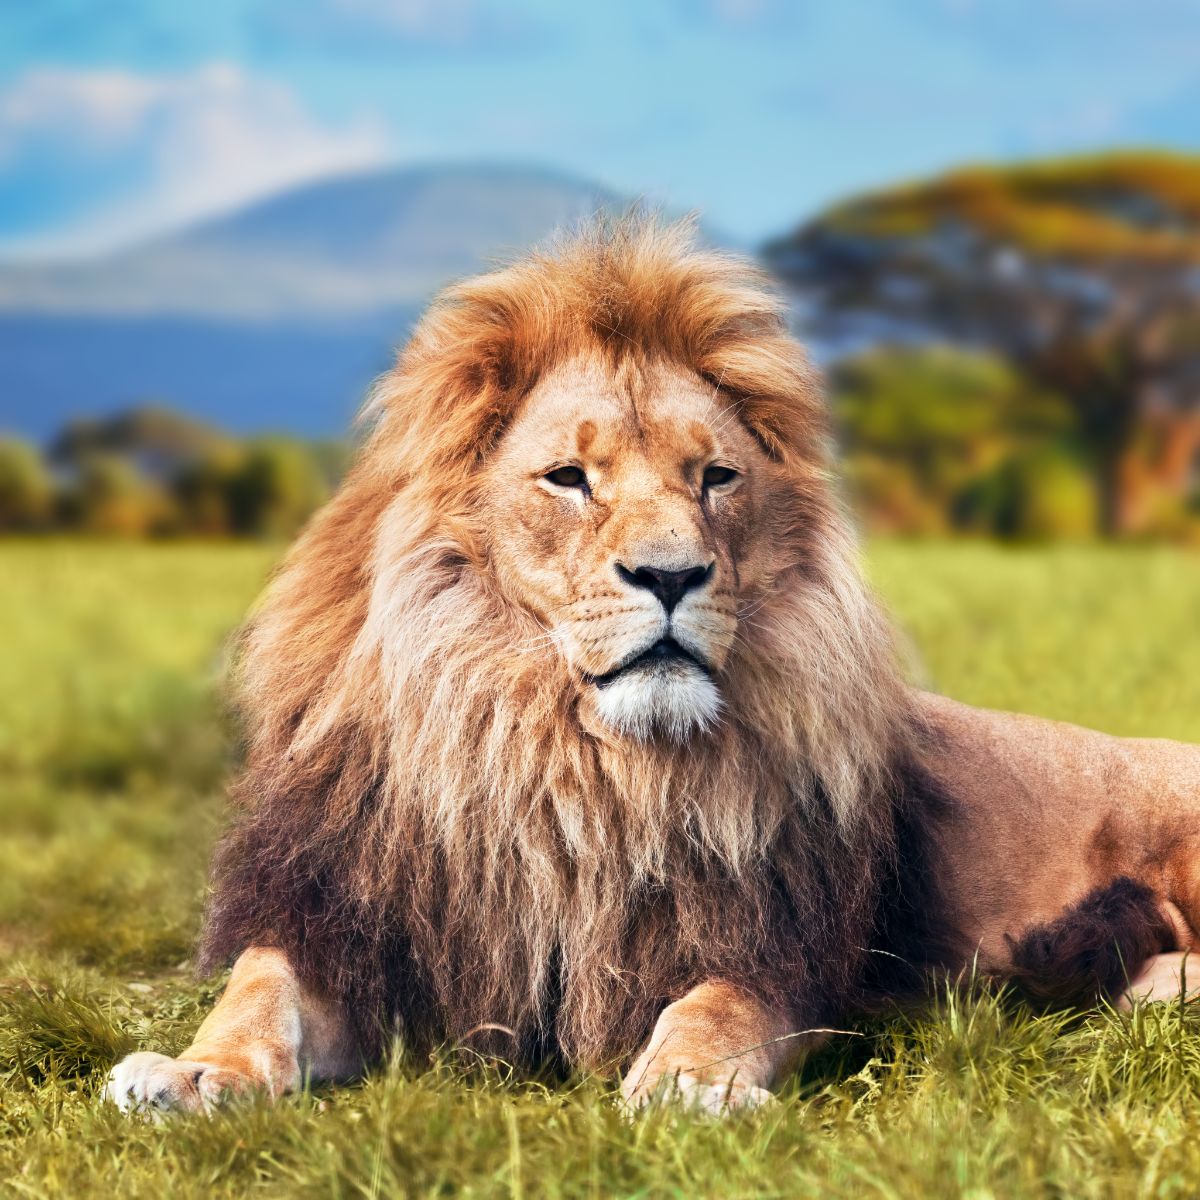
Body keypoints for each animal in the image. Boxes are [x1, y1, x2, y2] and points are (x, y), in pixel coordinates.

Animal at [105, 218, 1200, 1118]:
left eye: (715, 477)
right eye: (568, 478)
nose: (672, 574)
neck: (567, 762)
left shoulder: (777, 947)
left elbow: (716, 1009)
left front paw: (688, 1085)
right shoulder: (357, 930)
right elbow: (257, 991)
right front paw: (193, 1072)